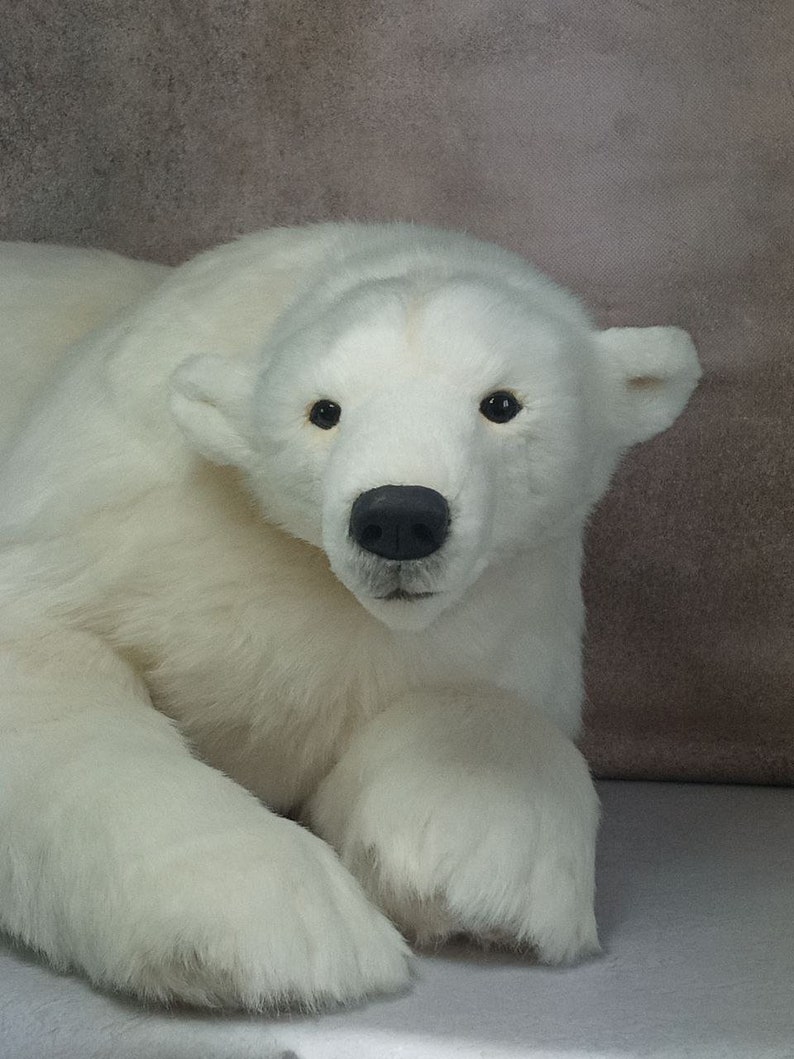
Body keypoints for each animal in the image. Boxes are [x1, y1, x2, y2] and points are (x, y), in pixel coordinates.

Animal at [0, 223, 700, 1011]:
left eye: (502, 403)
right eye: (323, 410)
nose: (399, 515)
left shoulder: (497, 613)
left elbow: (467, 714)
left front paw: (481, 870)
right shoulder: (115, 515)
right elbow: (46, 665)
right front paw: (277, 922)